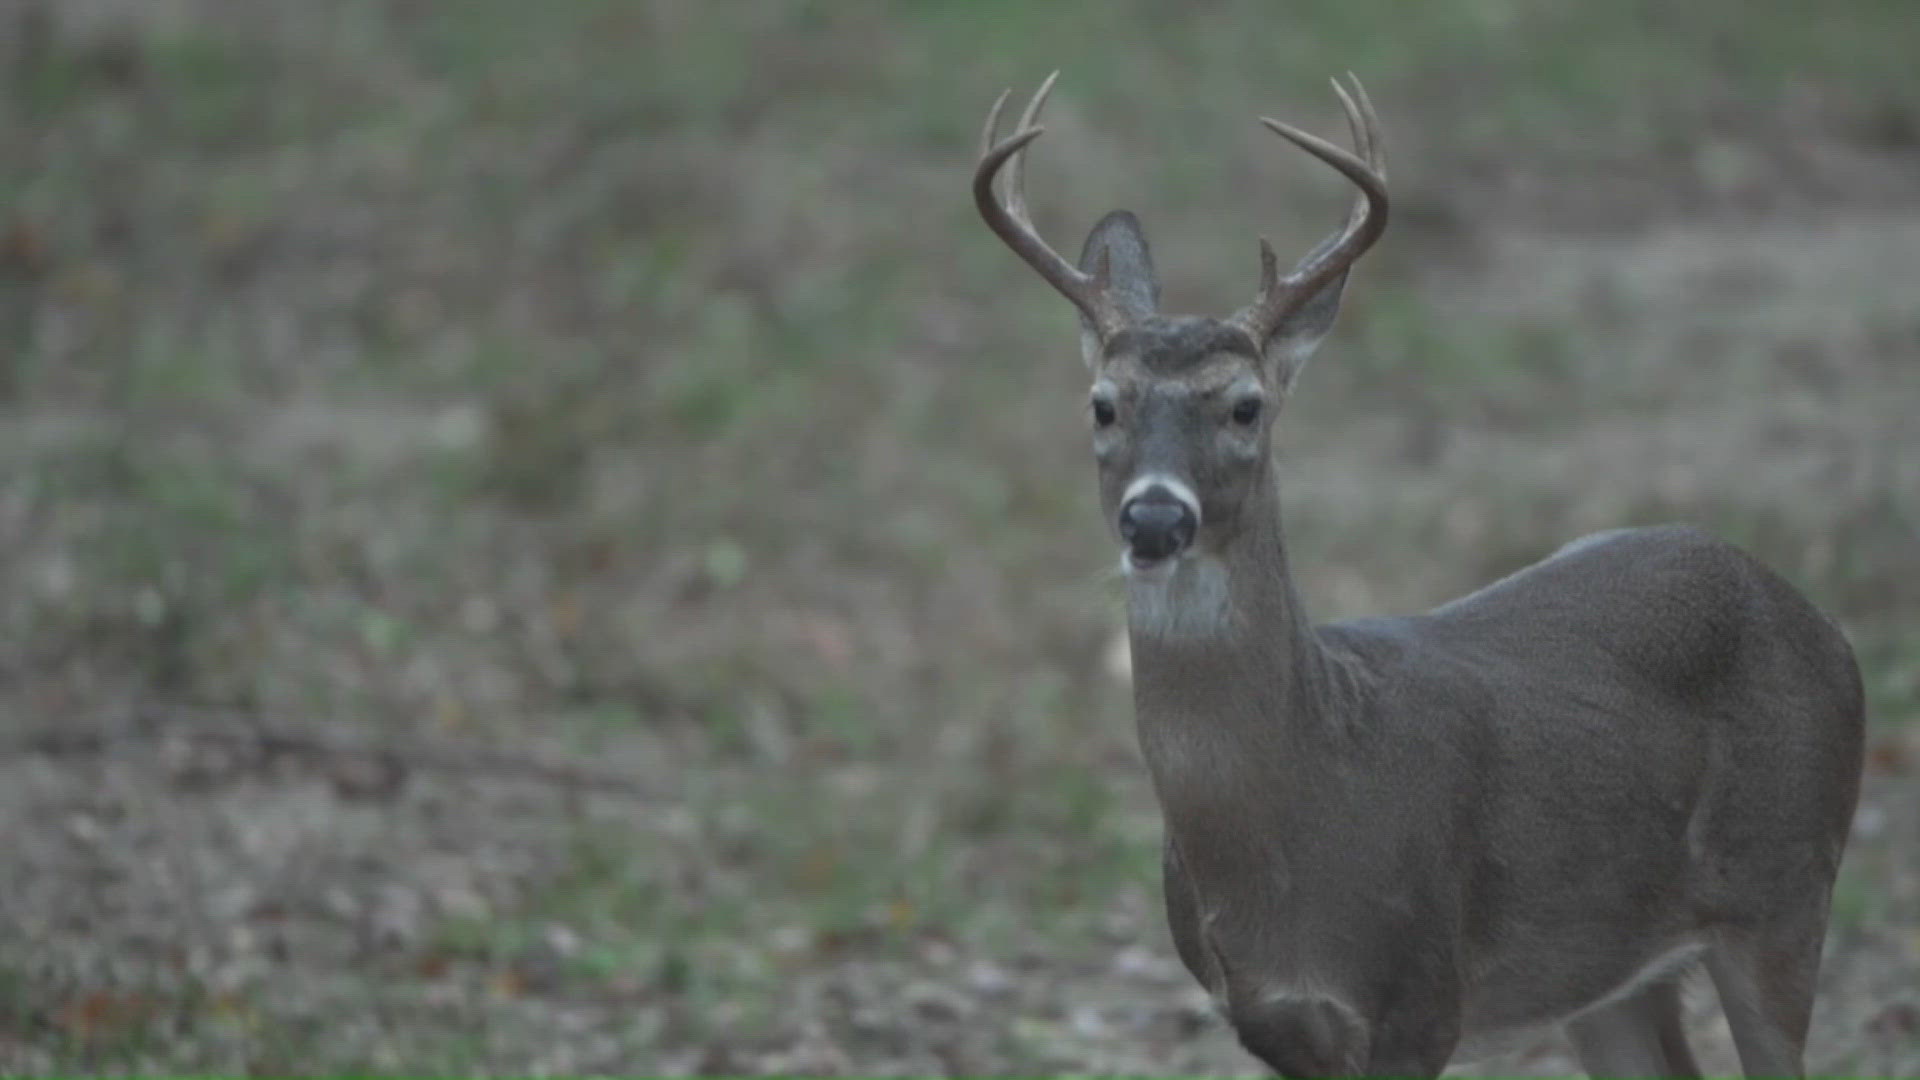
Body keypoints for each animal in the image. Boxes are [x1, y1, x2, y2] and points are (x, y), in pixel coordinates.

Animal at [973, 72, 1865, 1079]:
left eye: (1247, 406)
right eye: (1102, 404)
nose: (1156, 518)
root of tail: (1822, 625)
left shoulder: (1426, 992)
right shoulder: (1269, 1019)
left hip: (1787, 886)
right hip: (1610, 971)